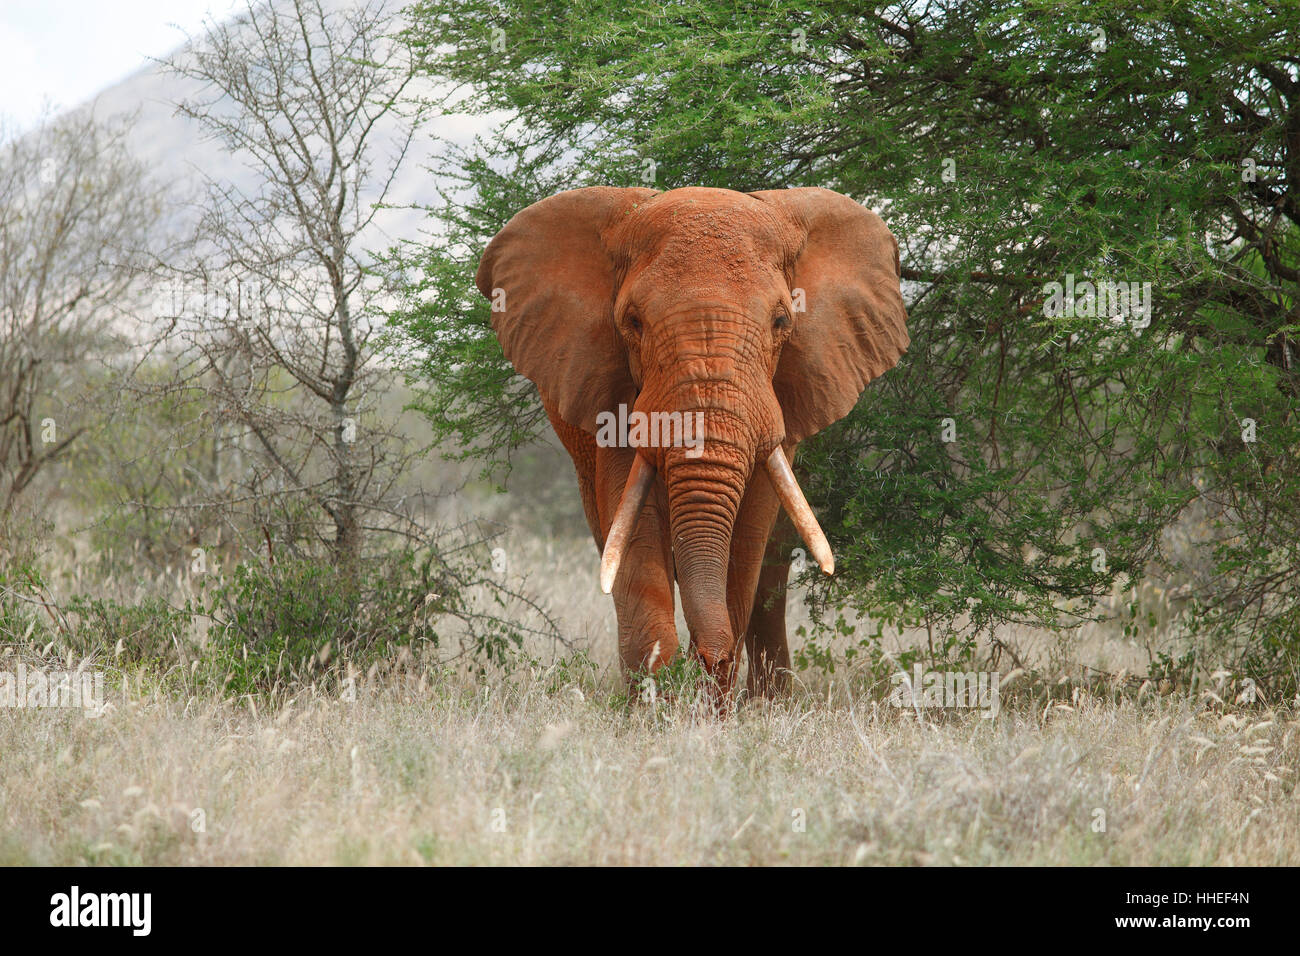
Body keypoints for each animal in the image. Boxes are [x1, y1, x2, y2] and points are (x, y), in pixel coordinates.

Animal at [476, 186, 908, 701]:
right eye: (633, 322)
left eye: (781, 321)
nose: (707, 656)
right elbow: (634, 532)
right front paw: (654, 704)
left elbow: (748, 537)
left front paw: (709, 703)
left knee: (772, 567)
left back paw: (770, 701)